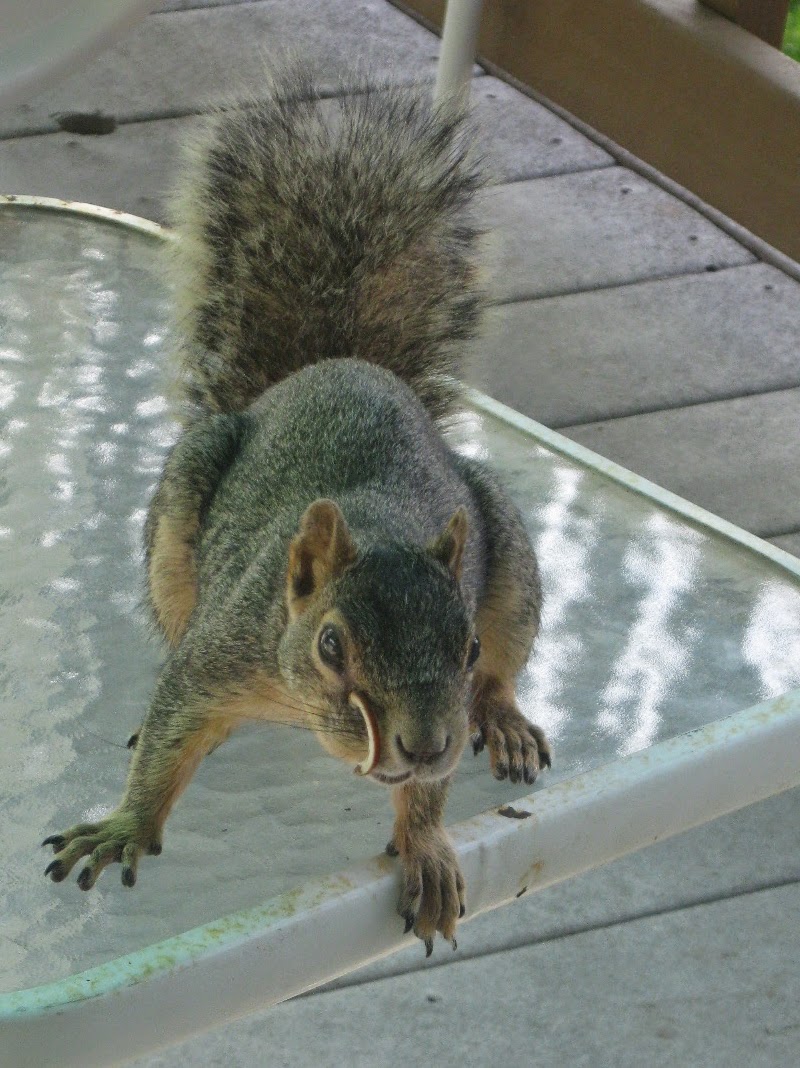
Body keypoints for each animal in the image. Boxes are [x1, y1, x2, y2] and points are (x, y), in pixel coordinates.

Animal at [42, 66, 550, 954]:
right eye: (331, 644)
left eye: (463, 645)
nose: (421, 744)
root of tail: (336, 364)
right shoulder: (222, 652)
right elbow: (171, 727)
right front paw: (123, 824)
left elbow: (431, 793)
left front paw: (426, 850)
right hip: (179, 524)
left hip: (511, 555)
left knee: (506, 670)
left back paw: (508, 719)